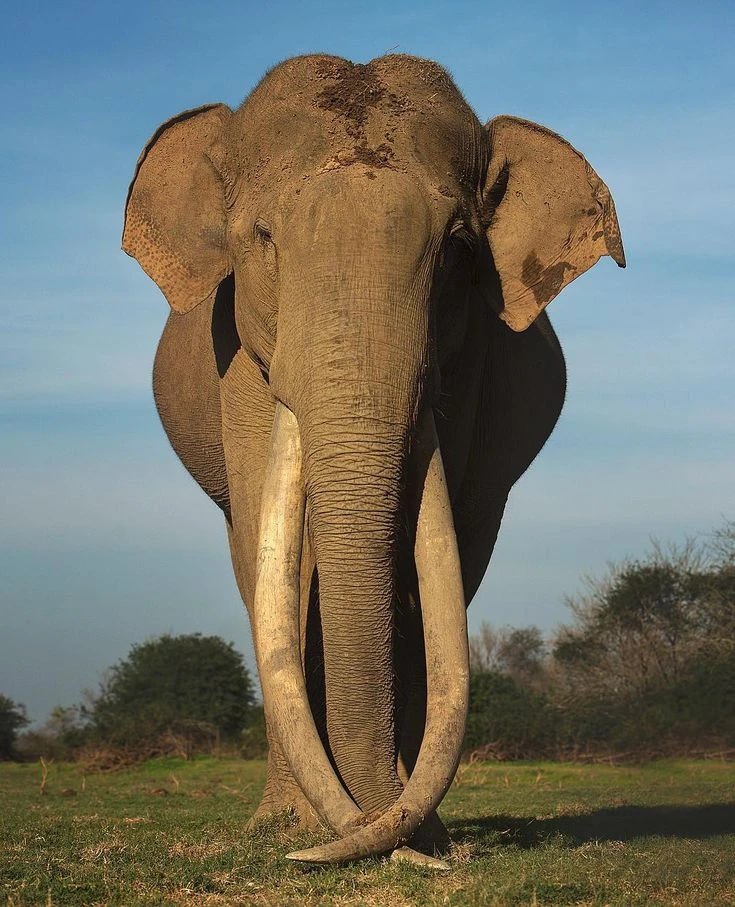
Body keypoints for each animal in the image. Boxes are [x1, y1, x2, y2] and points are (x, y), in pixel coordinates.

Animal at [122, 54, 624, 866]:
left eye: (458, 249)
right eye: (262, 236)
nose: (370, 833)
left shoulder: (471, 368)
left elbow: (428, 565)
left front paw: (418, 835)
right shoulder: (237, 357)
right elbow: (282, 560)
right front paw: (297, 833)